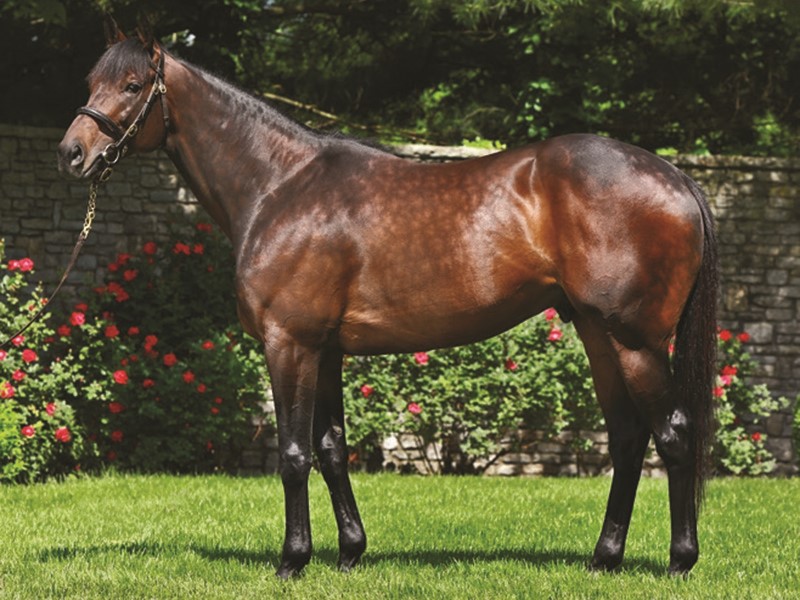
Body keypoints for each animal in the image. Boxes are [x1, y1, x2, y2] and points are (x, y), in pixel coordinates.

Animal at [57, 20, 718, 579]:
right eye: (91, 82)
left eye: (133, 84)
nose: (72, 154)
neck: (280, 186)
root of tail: (675, 177)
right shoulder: (325, 351)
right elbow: (332, 449)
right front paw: (350, 553)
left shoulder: (289, 344)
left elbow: (294, 453)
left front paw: (292, 561)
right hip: (596, 333)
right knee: (628, 436)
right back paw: (604, 560)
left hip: (636, 340)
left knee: (674, 433)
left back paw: (680, 561)